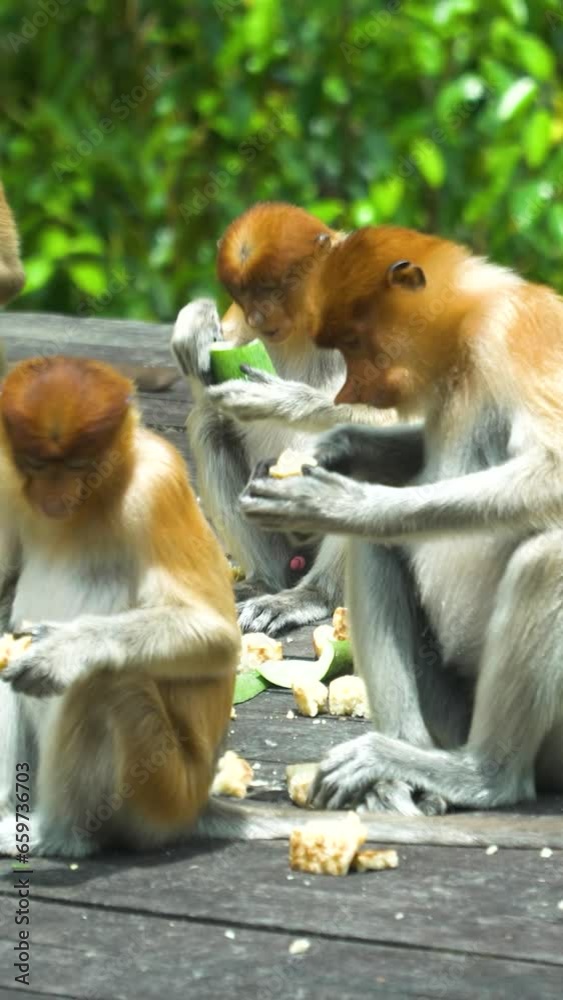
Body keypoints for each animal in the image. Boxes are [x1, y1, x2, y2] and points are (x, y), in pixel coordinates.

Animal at [0, 355, 243, 857]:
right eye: (36, 464)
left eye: (78, 465)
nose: (53, 498)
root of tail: (194, 806)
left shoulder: (156, 485)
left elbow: (217, 637)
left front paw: (61, 650)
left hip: (162, 791)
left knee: (105, 680)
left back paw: (56, 836)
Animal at [171, 202, 395, 637]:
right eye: (243, 294)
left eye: (274, 289)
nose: (258, 318)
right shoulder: (237, 326)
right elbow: (207, 397)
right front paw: (196, 324)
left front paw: (277, 399)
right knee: (208, 425)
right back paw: (265, 582)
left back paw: (310, 595)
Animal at [240, 223, 563, 824]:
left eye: (355, 341)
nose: (351, 392)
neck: (468, 326)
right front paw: (330, 448)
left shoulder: (515, 335)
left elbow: (553, 471)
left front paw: (342, 504)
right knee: (378, 551)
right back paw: (396, 772)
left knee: (547, 557)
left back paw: (482, 777)